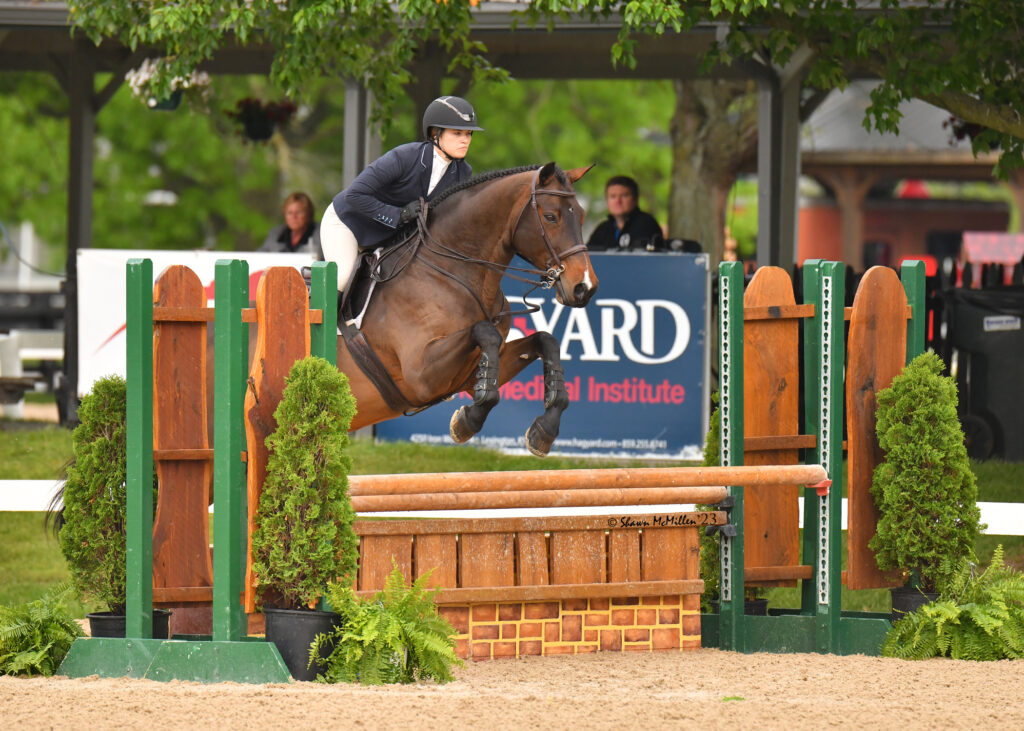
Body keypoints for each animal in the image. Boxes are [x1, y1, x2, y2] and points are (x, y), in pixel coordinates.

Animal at [337, 162, 598, 456]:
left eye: (582, 217)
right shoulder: (420, 376)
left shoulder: (470, 375)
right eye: (551, 217)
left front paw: (544, 431)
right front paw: (466, 422)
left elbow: (546, 340)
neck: (453, 272)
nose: (585, 287)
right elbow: (485, 332)